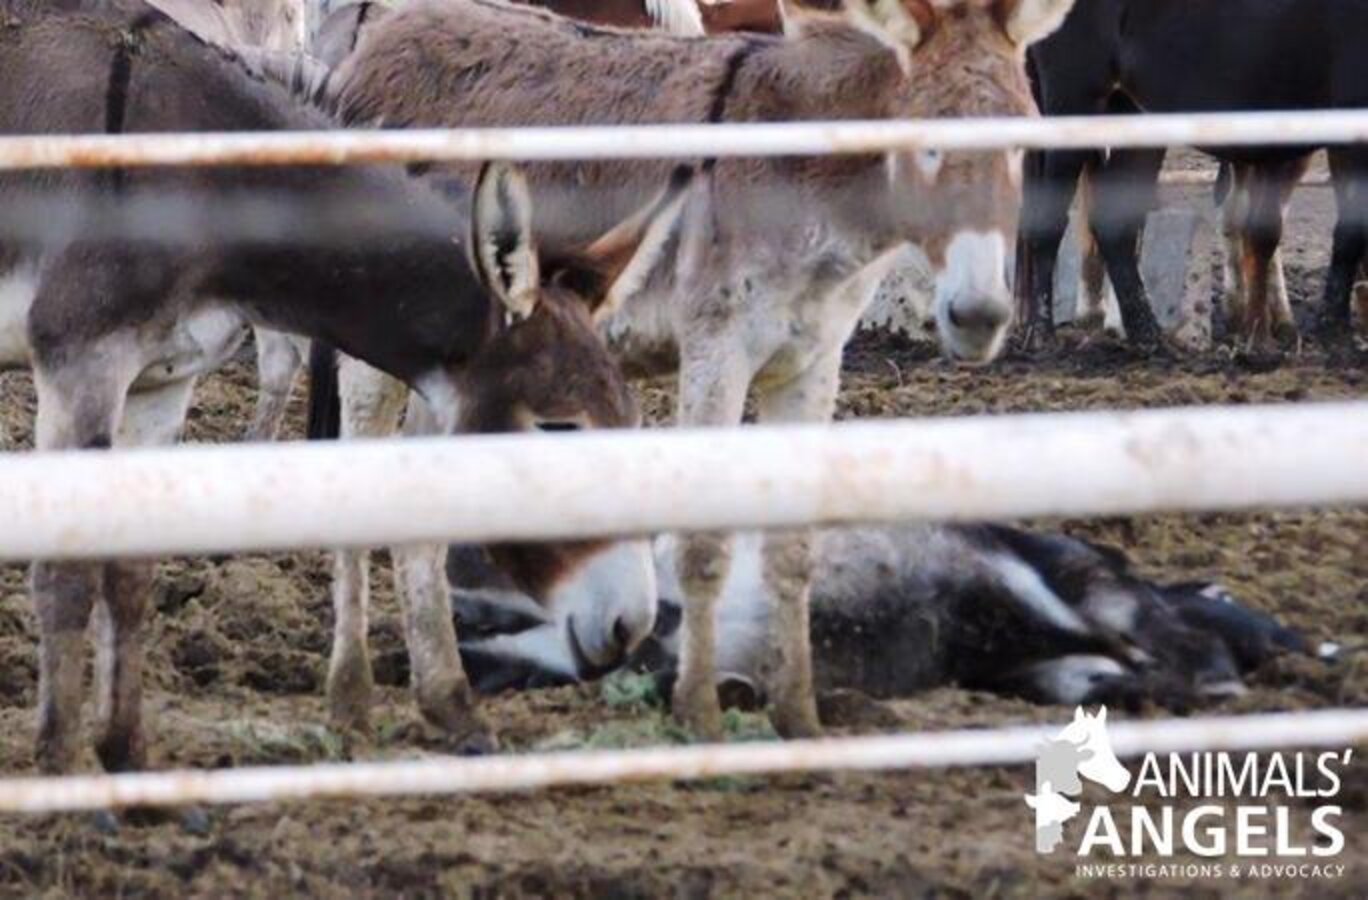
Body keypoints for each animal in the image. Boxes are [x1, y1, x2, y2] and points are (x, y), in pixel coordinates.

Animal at [0, 0, 667, 774]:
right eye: (560, 426)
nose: (631, 625)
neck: (203, 176)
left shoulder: (161, 383)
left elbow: (130, 570)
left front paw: (126, 757)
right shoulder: (81, 366)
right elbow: (67, 576)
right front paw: (61, 768)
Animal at [320, 0, 1073, 739]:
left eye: (1022, 143)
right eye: (929, 144)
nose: (979, 314)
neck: (805, 175)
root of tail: (384, 28)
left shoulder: (811, 364)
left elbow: (793, 551)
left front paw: (798, 719)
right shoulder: (719, 349)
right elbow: (705, 546)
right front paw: (701, 715)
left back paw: (448, 702)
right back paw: (351, 698)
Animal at [1018, 0, 1368, 353]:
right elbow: (1349, 232)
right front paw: (1333, 331)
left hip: (1132, 115)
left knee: (1114, 228)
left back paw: (1147, 334)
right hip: (1072, 107)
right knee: (1050, 222)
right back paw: (1042, 334)